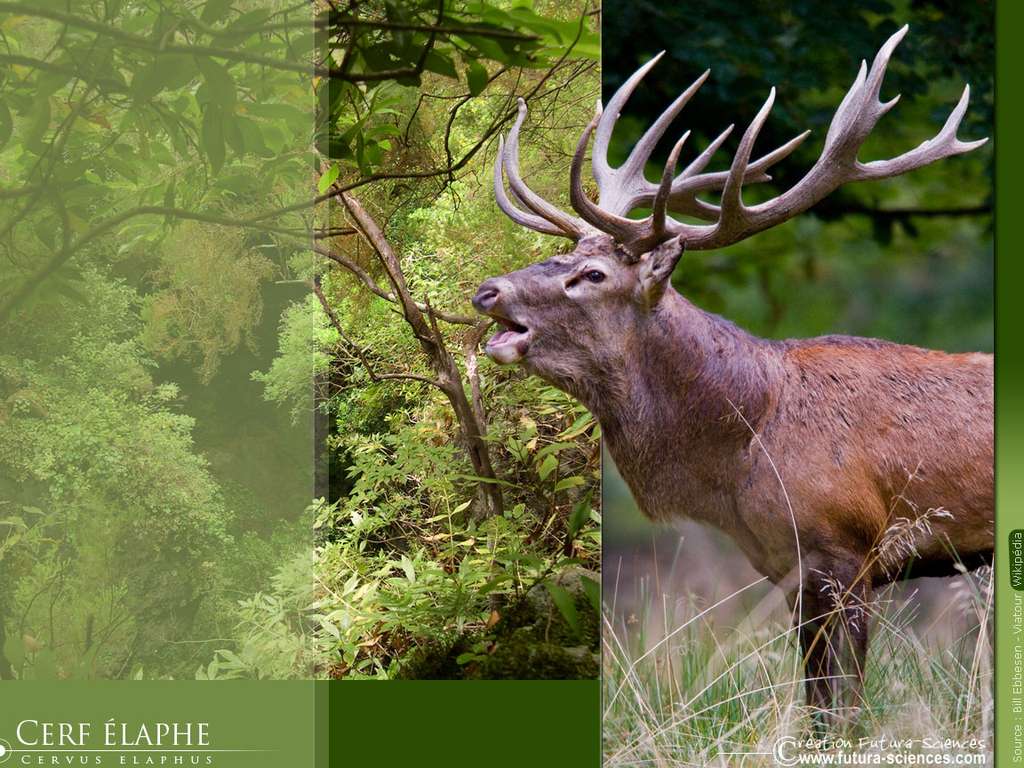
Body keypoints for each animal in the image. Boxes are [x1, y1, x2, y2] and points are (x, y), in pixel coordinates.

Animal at [472, 26, 992, 721]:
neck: (746, 443)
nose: (488, 290)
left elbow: (845, 709)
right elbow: (815, 703)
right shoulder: (790, 570)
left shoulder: (850, 549)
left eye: (593, 274)